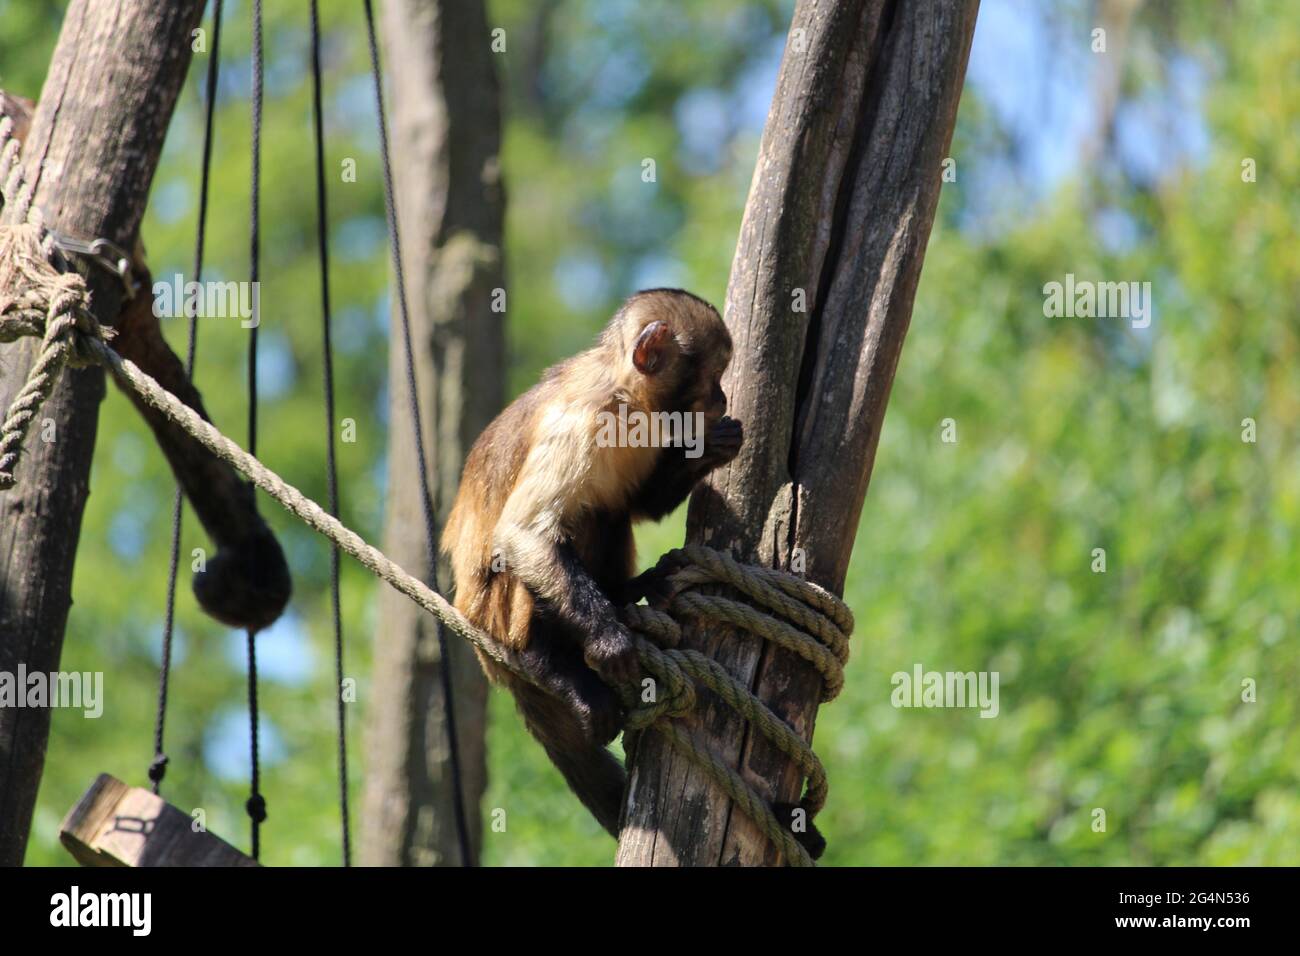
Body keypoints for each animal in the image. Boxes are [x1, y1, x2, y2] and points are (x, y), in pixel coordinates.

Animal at [441, 288, 825, 859]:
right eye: (715, 373)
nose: (721, 398)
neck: (624, 395)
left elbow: (639, 505)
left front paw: (709, 448)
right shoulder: (582, 418)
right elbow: (524, 535)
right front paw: (607, 641)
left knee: (607, 510)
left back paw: (628, 594)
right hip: (495, 615)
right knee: (557, 530)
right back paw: (552, 663)